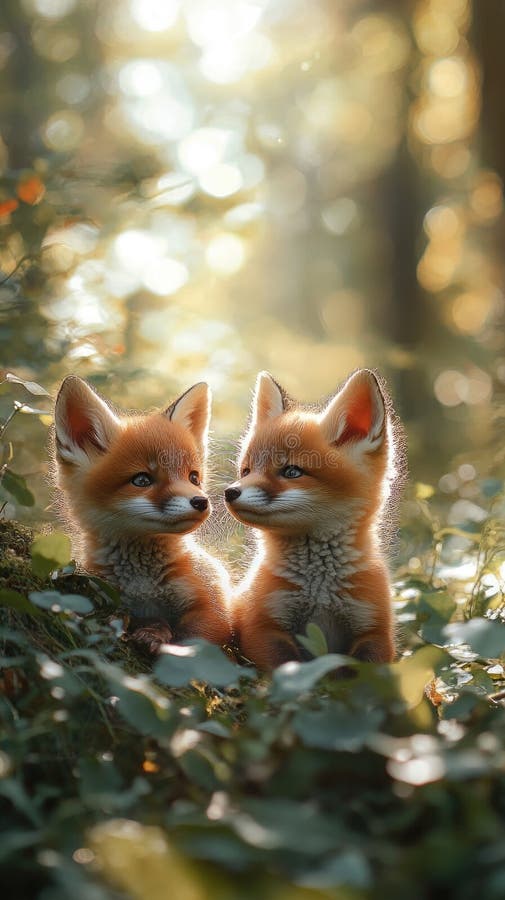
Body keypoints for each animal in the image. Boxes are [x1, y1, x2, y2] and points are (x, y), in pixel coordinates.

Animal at [53, 375, 231, 653]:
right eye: (142, 480)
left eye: (193, 477)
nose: (201, 502)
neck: (143, 583)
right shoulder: (117, 597)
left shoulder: (212, 604)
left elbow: (197, 645)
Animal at [224, 368, 403, 670]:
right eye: (246, 471)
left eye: (292, 472)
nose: (230, 492)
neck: (320, 590)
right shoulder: (262, 627)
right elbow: (287, 670)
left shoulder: (374, 630)